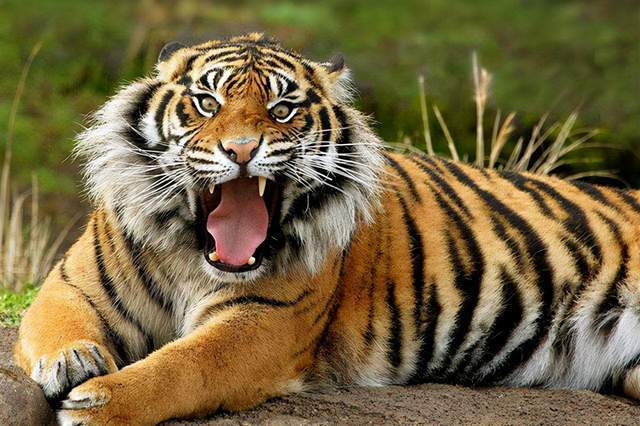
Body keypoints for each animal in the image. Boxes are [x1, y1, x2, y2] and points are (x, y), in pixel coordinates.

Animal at [13, 33, 640, 425]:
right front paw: (72, 362)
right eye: (207, 102)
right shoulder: (71, 283)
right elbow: (55, 323)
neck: (191, 253)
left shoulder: (264, 322)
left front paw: (98, 403)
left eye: (282, 110)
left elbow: (183, 366)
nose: (242, 149)